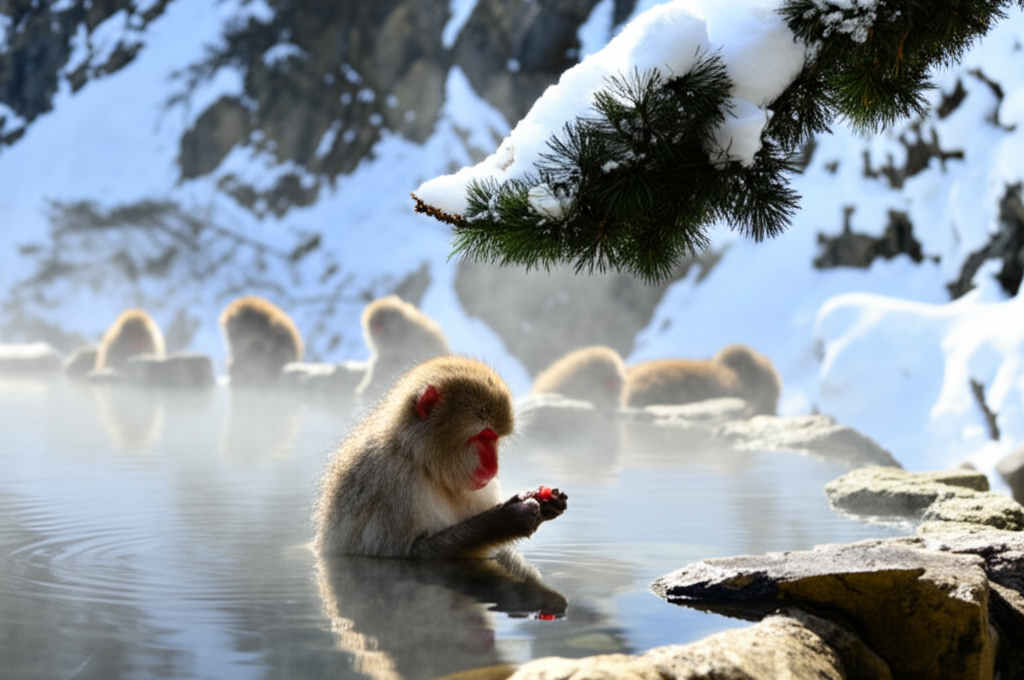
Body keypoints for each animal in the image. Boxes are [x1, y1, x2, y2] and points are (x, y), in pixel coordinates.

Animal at [315, 354, 568, 558]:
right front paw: (508, 519)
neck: (421, 460)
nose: (493, 468)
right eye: (483, 436)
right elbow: (405, 552)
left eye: (494, 438)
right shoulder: (394, 483)